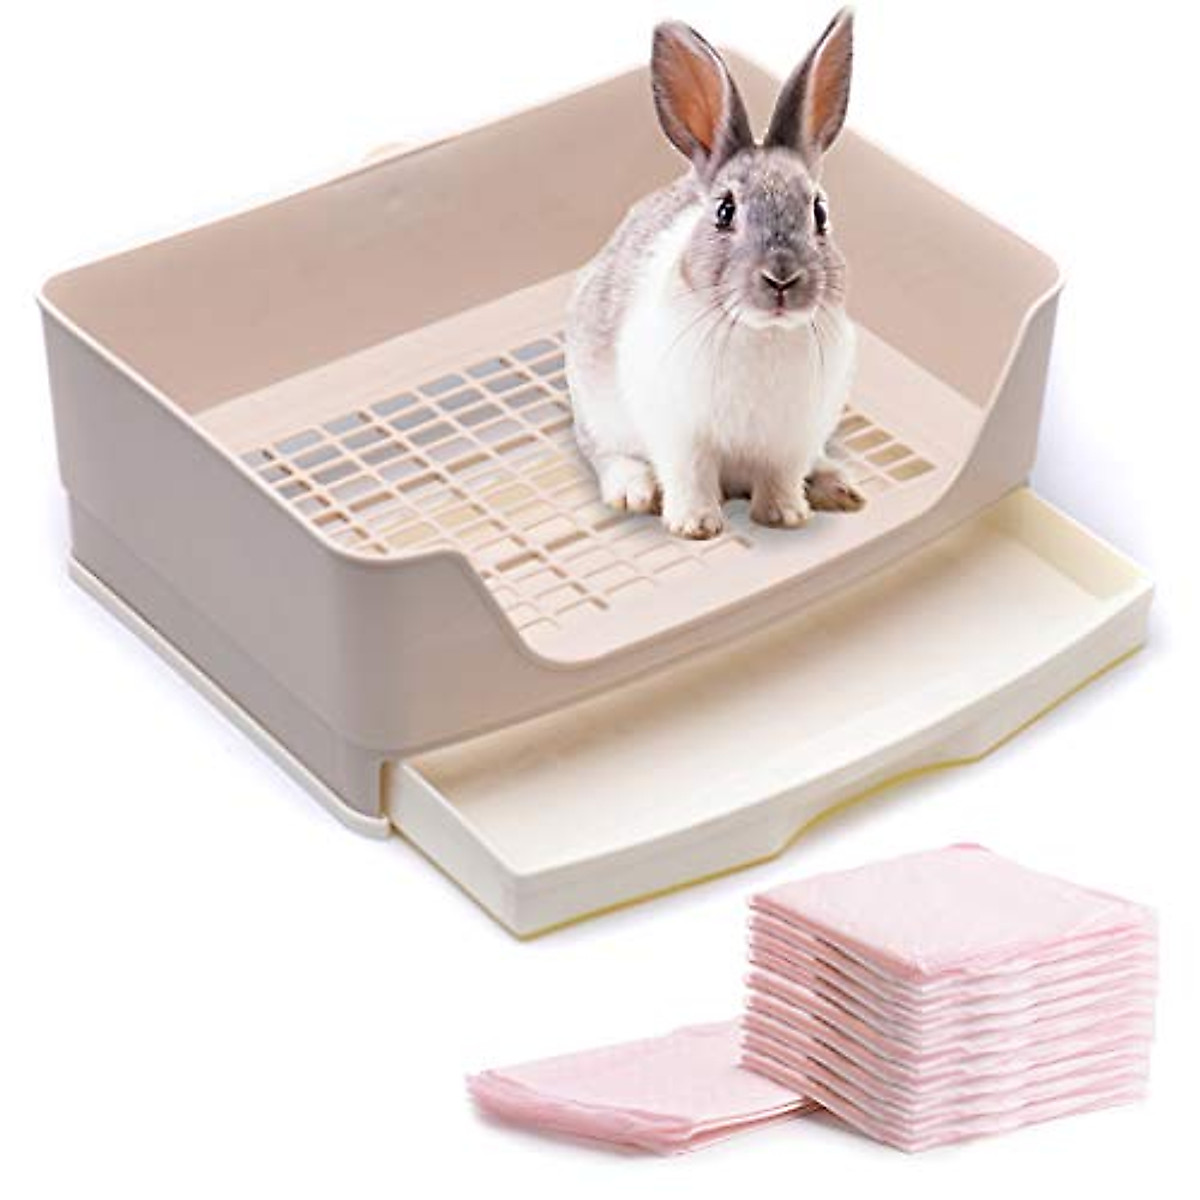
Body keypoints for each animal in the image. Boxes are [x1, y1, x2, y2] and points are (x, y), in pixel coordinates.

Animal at [566, 9, 865, 539]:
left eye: (820, 213)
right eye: (725, 211)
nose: (781, 279)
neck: (762, 332)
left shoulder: (792, 438)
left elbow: (781, 476)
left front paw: (785, 516)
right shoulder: (680, 433)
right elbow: (691, 475)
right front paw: (696, 525)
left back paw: (837, 487)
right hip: (597, 409)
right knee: (603, 452)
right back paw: (633, 490)